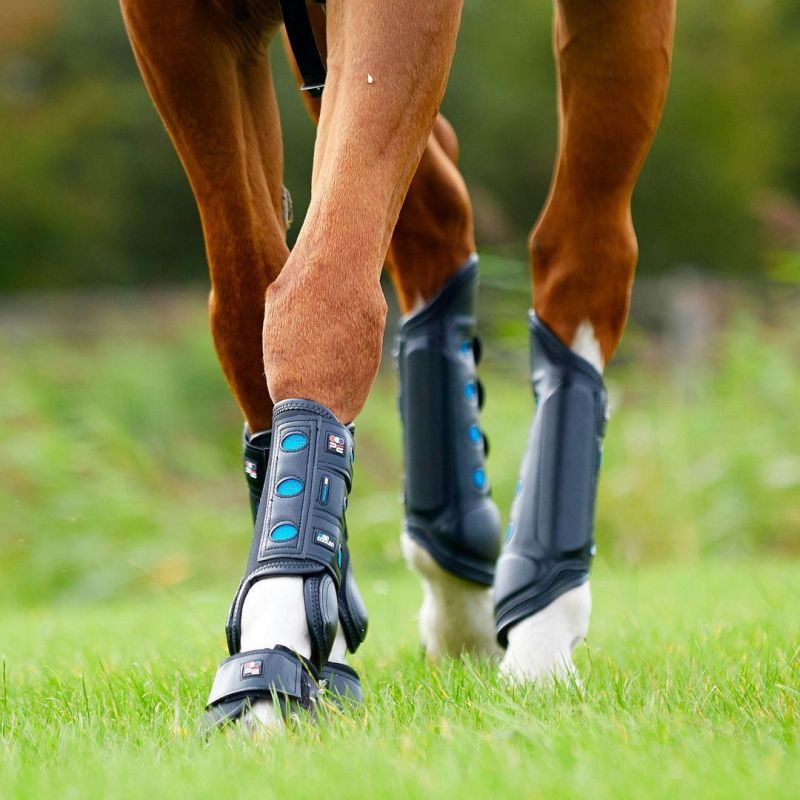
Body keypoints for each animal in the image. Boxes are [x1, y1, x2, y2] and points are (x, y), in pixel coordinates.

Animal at [120, 0, 676, 729]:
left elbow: (324, 288)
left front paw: (273, 662)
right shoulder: (178, 29)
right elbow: (246, 306)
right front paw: (312, 632)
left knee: (584, 255)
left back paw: (541, 627)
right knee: (437, 218)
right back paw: (460, 583)